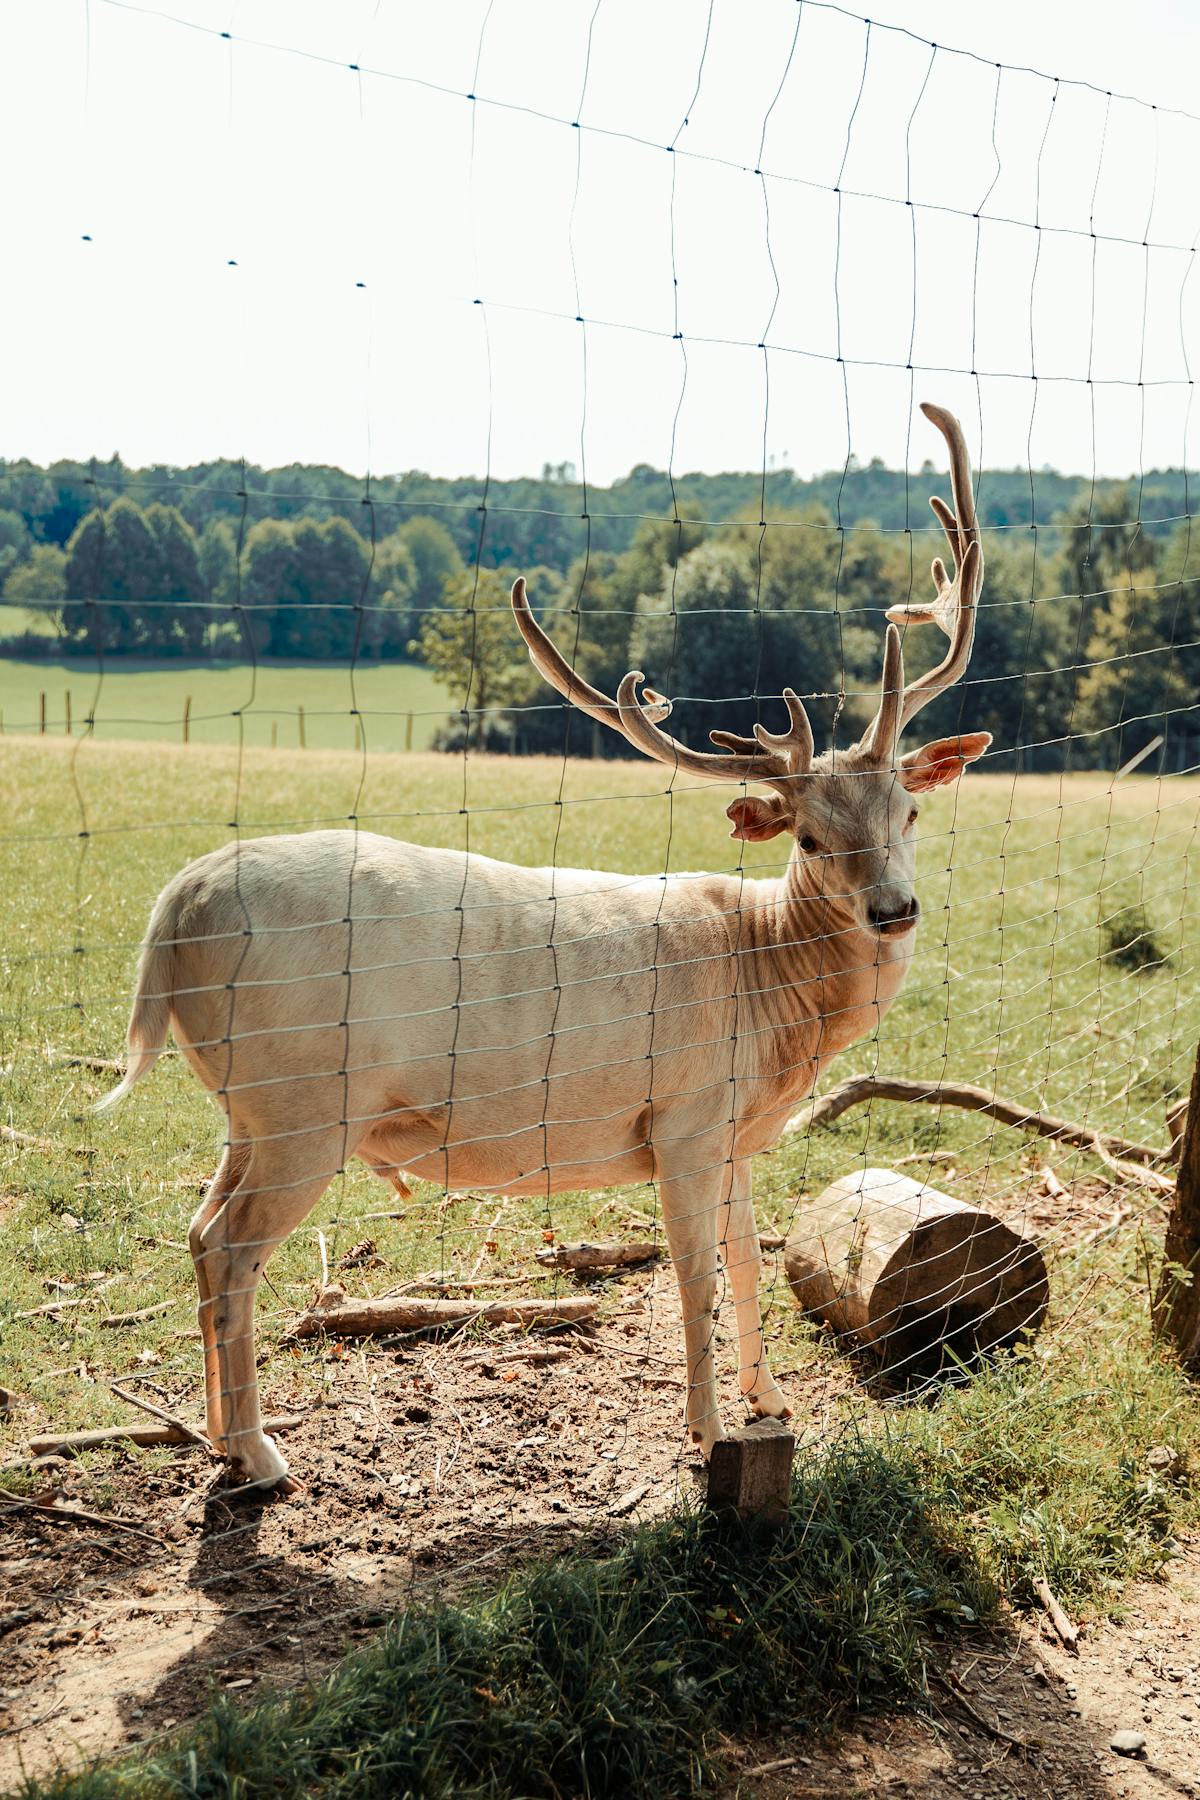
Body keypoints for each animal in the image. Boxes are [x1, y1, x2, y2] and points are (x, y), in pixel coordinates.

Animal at [99, 402, 989, 1492]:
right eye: (811, 839)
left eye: (911, 810)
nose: (895, 909)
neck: (770, 992)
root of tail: (171, 911)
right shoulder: (685, 1111)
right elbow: (694, 1280)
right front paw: (708, 1438)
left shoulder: (732, 1130)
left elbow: (747, 1264)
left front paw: (772, 1404)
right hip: (306, 1099)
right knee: (230, 1245)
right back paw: (262, 1455)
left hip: (249, 1109)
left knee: (196, 1230)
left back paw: (225, 1442)